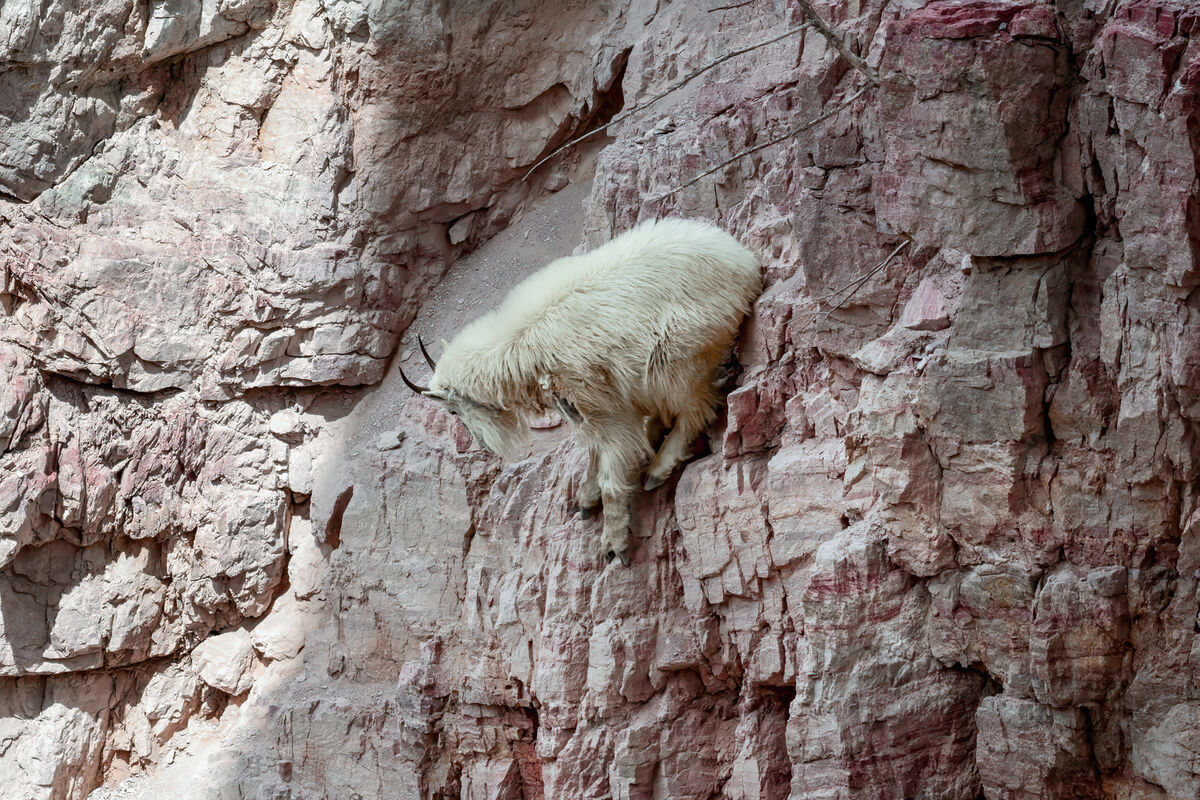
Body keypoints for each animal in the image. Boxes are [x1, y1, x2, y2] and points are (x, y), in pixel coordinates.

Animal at [400, 218, 761, 565]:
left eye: (452, 410)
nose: (482, 444)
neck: (522, 348)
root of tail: (746, 265)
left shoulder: (600, 402)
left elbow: (611, 466)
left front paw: (614, 543)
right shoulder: (579, 408)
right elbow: (593, 455)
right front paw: (585, 500)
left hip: (675, 358)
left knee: (699, 405)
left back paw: (659, 467)